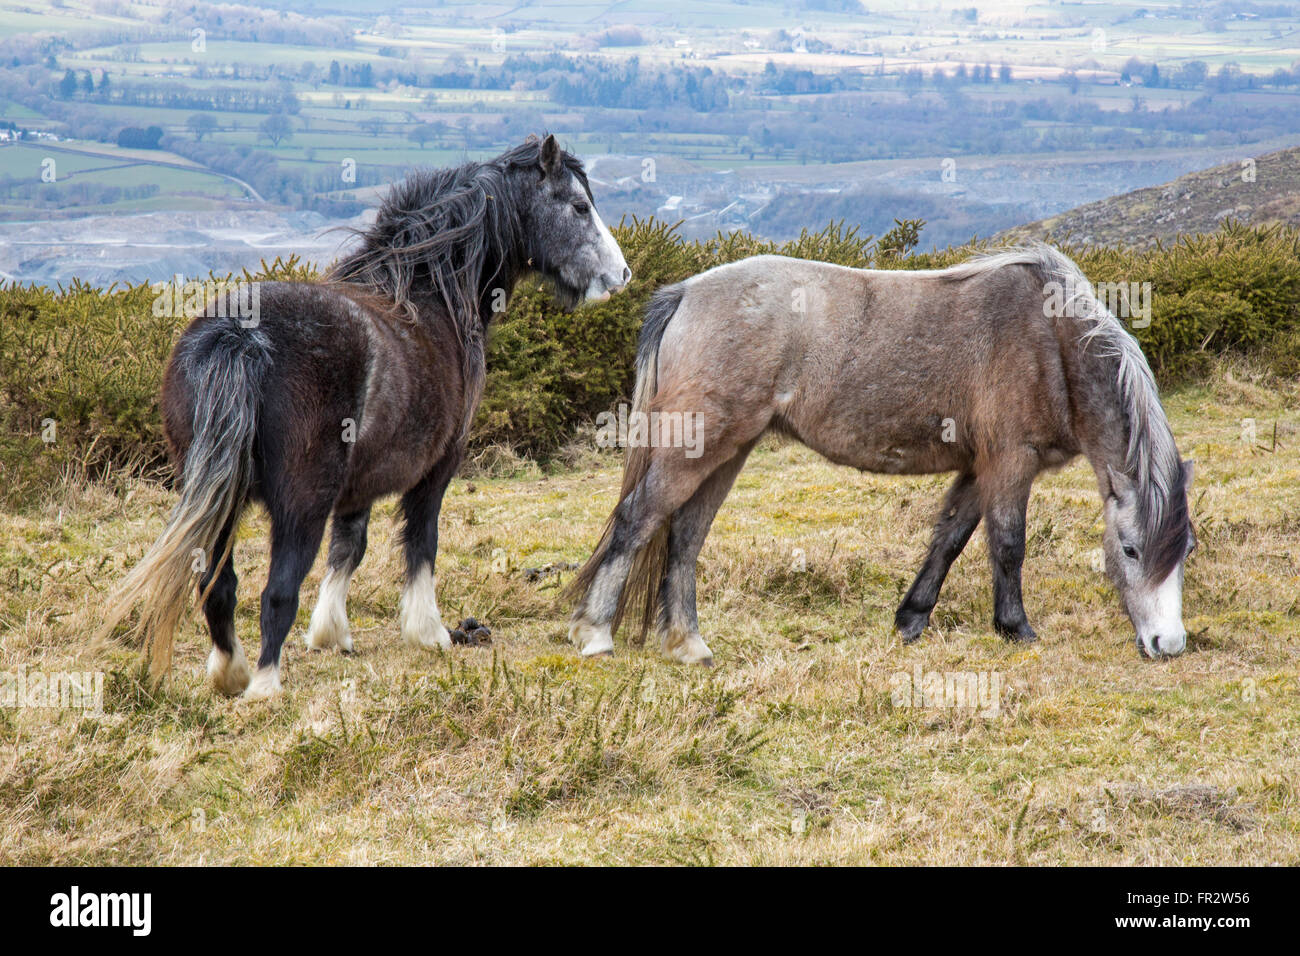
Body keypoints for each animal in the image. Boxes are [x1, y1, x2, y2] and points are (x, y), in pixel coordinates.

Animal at [100, 135, 631, 700]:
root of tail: (242, 337)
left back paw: (231, 672)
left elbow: (349, 549)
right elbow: (421, 543)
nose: (621, 274)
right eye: (579, 206)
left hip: (218, 495)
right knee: (275, 592)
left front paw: (332, 633)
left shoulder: (359, 483)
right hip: (301, 504)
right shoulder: (438, 467)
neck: (429, 295)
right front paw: (428, 632)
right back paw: (264, 685)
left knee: (217, 585)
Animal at [566, 244, 1195, 665]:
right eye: (1130, 550)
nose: (1167, 644)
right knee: (637, 519)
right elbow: (1008, 545)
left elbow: (949, 539)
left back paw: (687, 644)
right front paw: (1015, 627)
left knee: (685, 537)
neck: (1051, 342)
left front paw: (911, 618)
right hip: (698, 446)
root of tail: (685, 294)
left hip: (728, 451)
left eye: (1185, 550)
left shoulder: (979, 468)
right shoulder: (1010, 463)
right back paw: (596, 634)